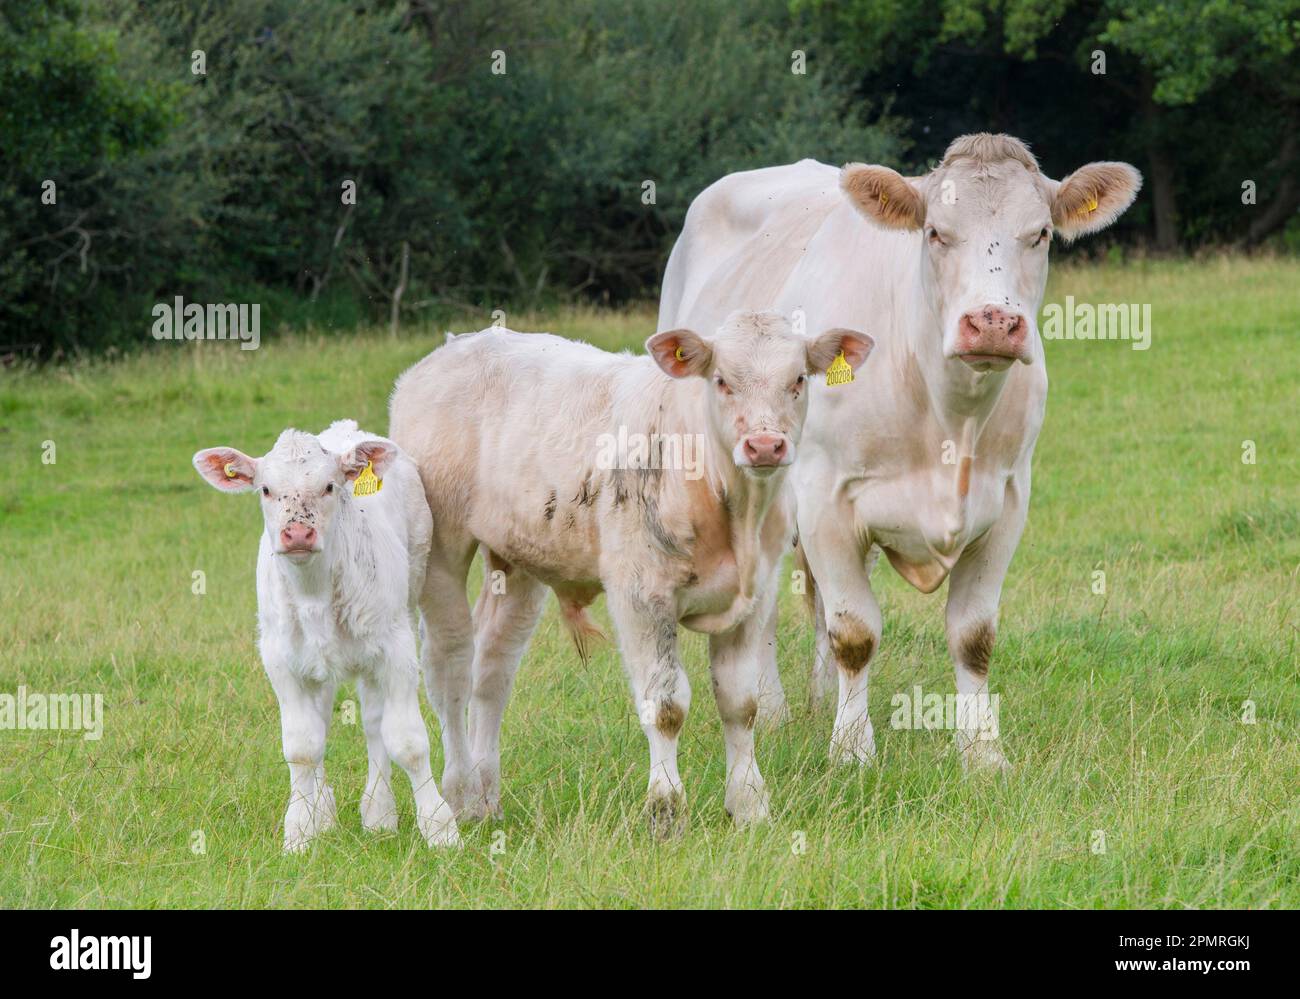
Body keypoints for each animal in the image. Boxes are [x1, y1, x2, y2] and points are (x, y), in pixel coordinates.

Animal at [192, 420, 459, 851]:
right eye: (265, 489)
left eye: (330, 486)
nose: (298, 533)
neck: (315, 593)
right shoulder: (279, 659)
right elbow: (302, 746)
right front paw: (300, 830)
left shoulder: (396, 648)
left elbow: (408, 741)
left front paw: (440, 828)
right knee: (321, 721)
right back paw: (324, 812)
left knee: (374, 720)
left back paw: (379, 812)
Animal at [389, 312, 872, 834]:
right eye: (722, 380)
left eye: (798, 379)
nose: (765, 446)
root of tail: (454, 348)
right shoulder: (640, 594)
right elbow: (665, 706)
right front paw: (665, 811)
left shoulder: (754, 595)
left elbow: (741, 704)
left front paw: (749, 804)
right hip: (442, 551)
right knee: (450, 670)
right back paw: (458, 796)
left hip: (516, 560)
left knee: (492, 669)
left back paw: (485, 796)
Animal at [658, 133, 1141, 769]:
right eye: (934, 231)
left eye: (1039, 233)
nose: (992, 322)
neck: (949, 414)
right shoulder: (825, 497)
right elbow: (855, 633)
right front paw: (852, 751)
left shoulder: (1009, 500)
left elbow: (973, 635)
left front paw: (982, 754)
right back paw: (775, 708)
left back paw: (818, 702)